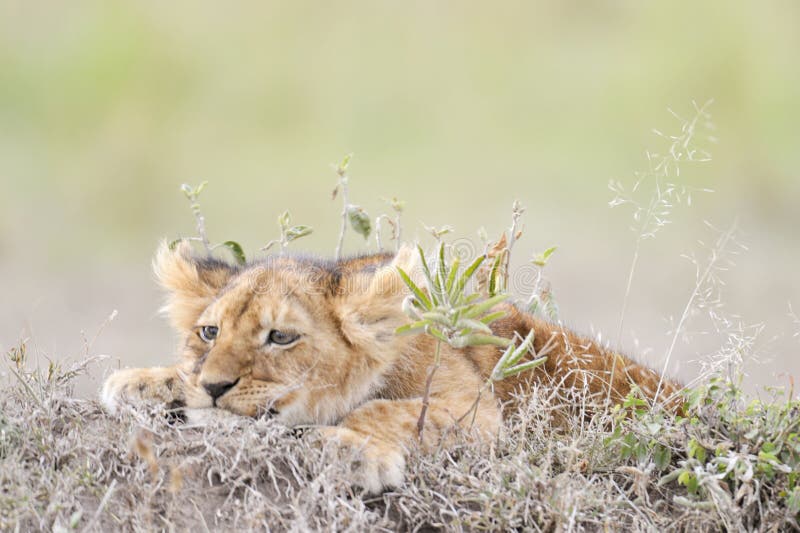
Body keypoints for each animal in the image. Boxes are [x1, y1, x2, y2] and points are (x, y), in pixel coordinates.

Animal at [101, 241, 681, 493]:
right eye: (210, 332)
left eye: (281, 337)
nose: (216, 386)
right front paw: (138, 382)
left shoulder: (475, 408)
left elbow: (380, 410)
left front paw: (352, 452)